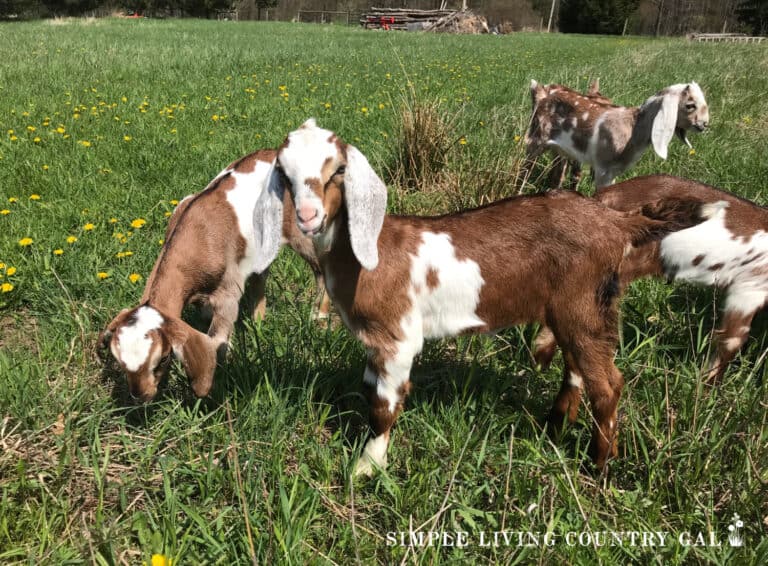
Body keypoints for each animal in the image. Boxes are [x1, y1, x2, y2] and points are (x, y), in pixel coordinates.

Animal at [101, 149, 329, 402]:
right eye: (119, 362)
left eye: (163, 358)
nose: (141, 396)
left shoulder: (228, 293)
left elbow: (218, 340)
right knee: (261, 277)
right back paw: (258, 322)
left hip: (301, 225)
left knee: (320, 266)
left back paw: (319, 317)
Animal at [252, 119, 706, 476]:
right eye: (285, 175)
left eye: (339, 170)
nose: (308, 217)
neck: (369, 251)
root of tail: (616, 222)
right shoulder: (374, 341)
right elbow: (369, 389)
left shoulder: (398, 337)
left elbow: (383, 404)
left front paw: (366, 467)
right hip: (575, 310)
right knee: (578, 368)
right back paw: (556, 426)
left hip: (582, 305)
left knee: (608, 385)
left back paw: (599, 465)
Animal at [525, 81, 710, 188]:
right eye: (690, 105)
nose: (704, 124)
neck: (634, 127)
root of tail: (542, 96)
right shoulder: (603, 169)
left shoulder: (612, 171)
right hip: (535, 139)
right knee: (525, 168)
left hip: (560, 150)